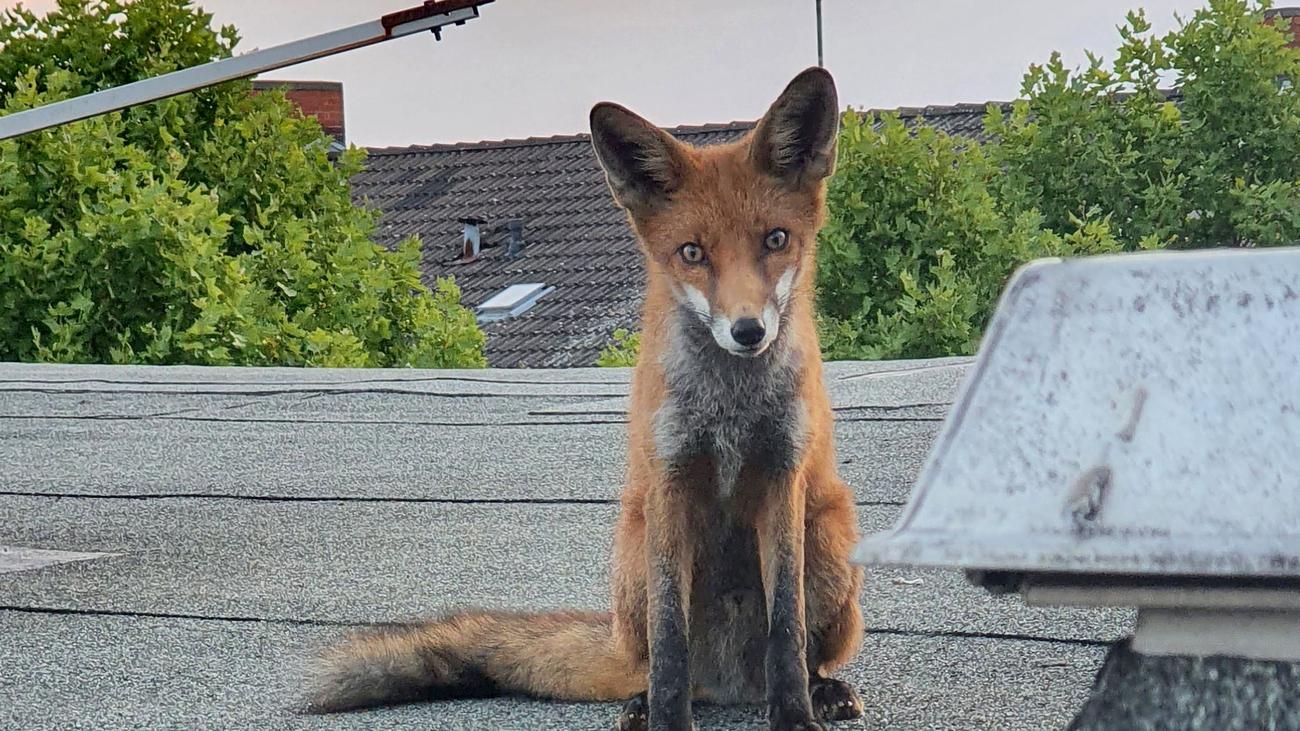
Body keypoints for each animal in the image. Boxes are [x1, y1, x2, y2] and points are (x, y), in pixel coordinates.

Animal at [303, 67, 866, 731]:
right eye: (692, 253)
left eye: (777, 239)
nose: (748, 331)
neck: (730, 407)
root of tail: (730, 686)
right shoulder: (669, 480)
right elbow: (671, 641)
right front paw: (666, 719)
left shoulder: (783, 475)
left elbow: (787, 632)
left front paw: (796, 716)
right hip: (634, 555)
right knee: (656, 663)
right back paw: (642, 702)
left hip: (828, 536)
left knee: (804, 652)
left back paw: (824, 690)